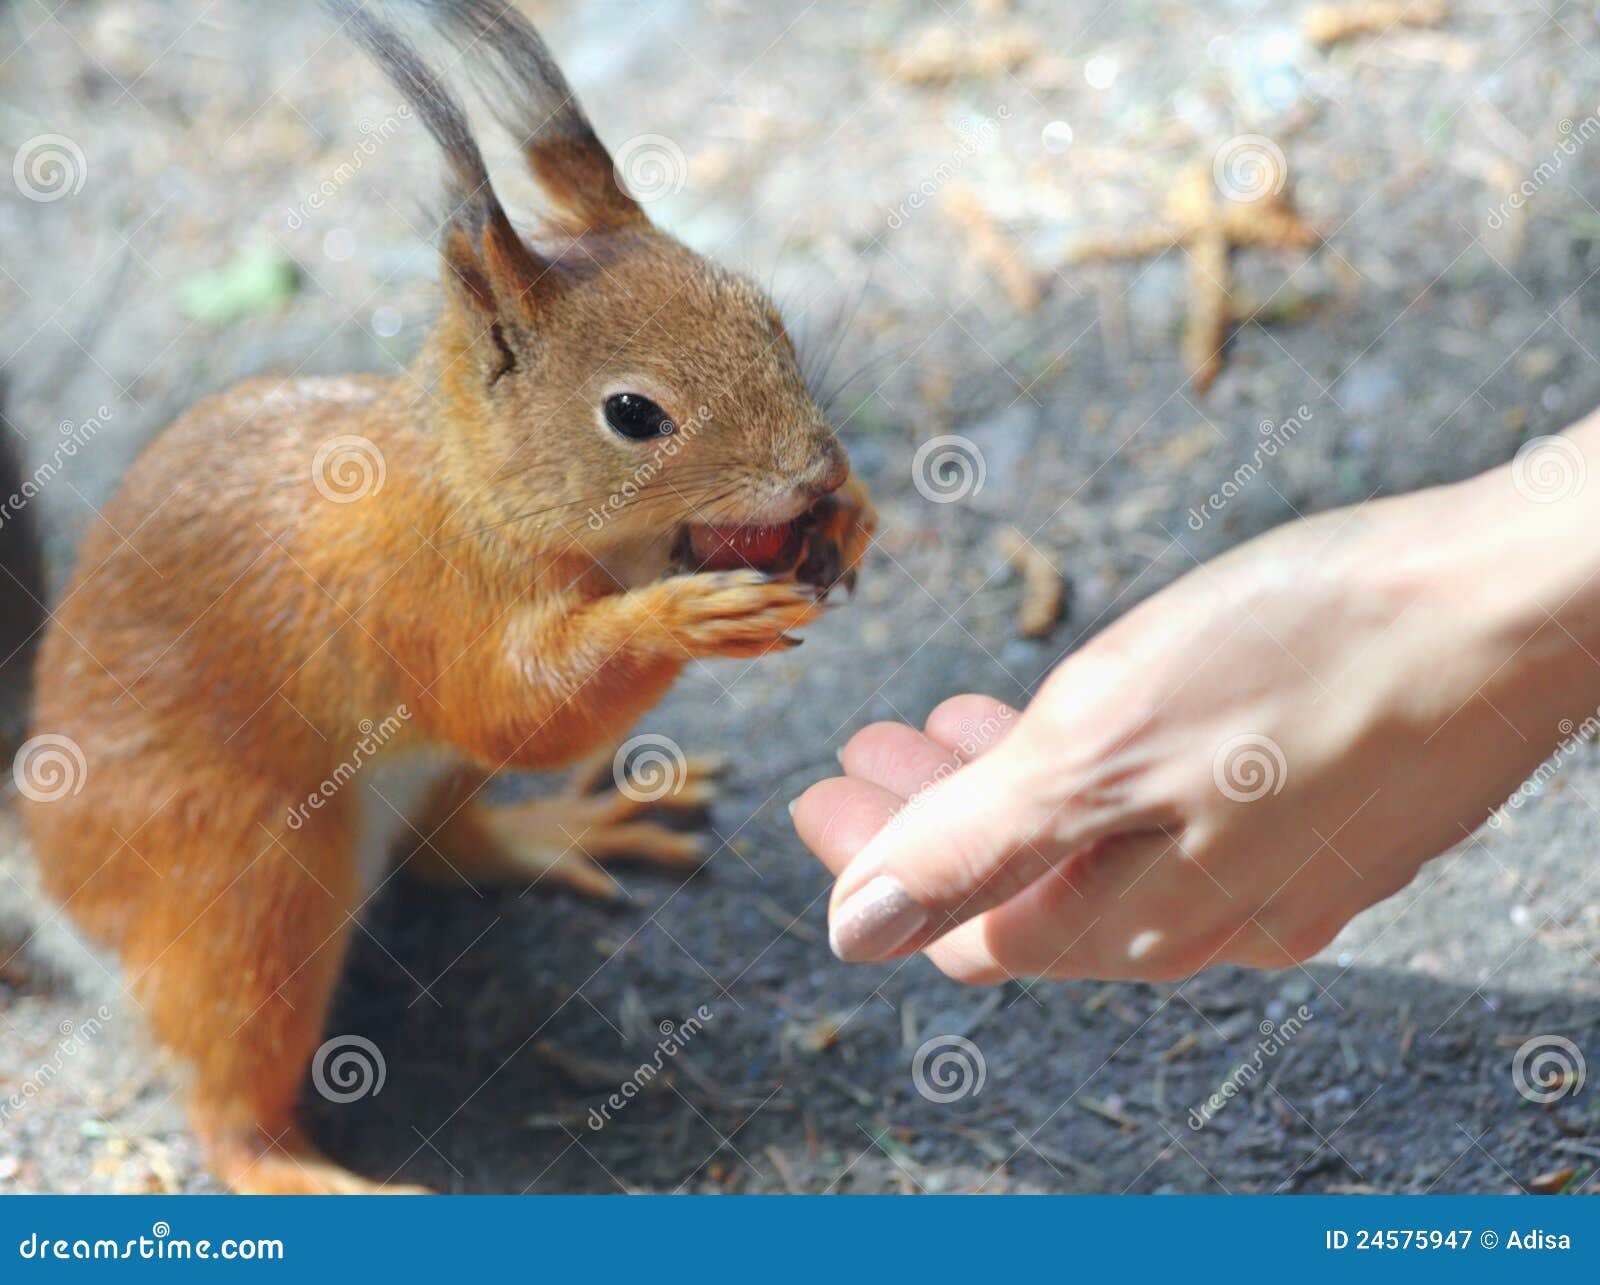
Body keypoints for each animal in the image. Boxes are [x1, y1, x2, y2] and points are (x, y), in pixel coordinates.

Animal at [21, 0, 873, 1195]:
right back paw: (306, 1174)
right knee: (227, 1094)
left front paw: (851, 517)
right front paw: (682, 617)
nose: (815, 470)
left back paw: (563, 826)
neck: (482, 496)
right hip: (250, 891)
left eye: (765, 313)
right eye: (633, 415)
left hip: (411, 794)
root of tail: (43, 883)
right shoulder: (413, 601)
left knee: (449, 848)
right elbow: (516, 707)